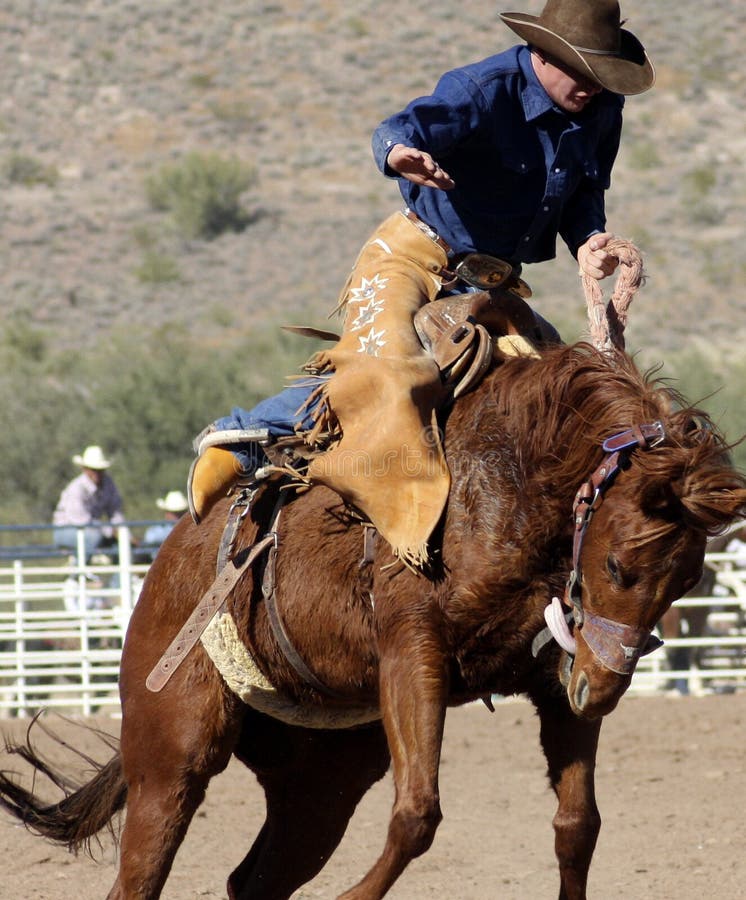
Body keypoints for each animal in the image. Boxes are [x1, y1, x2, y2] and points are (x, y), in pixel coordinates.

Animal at [1, 342, 744, 896]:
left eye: (689, 581)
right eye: (618, 566)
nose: (604, 688)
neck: (506, 484)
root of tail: (167, 567)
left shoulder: (553, 675)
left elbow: (577, 824)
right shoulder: (412, 652)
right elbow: (417, 813)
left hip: (320, 782)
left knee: (255, 879)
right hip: (171, 752)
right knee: (143, 873)